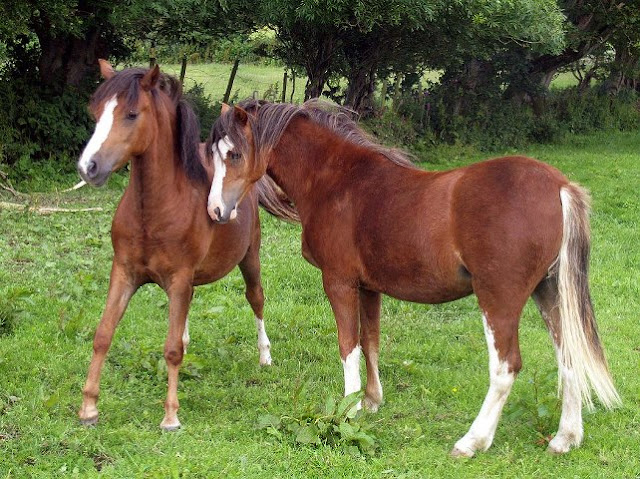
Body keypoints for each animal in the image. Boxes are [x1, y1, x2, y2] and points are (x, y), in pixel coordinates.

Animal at [75, 61, 296, 430]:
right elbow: (103, 334)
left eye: (131, 114)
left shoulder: (178, 279)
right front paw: (89, 408)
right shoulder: (124, 273)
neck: (155, 211)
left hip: (249, 258)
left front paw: (171, 416)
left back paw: (265, 356)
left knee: (257, 299)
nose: (88, 168)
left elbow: (171, 349)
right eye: (95, 112)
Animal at [205, 99, 620, 456]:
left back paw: (472, 441)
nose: (216, 210)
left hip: (498, 299)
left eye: (234, 153)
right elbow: (370, 342)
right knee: (568, 355)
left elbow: (347, 346)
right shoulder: (369, 288)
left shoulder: (338, 282)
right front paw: (371, 401)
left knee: (505, 368)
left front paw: (348, 412)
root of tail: (559, 187)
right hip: (548, 292)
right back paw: (566, 438)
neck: (337, 181)